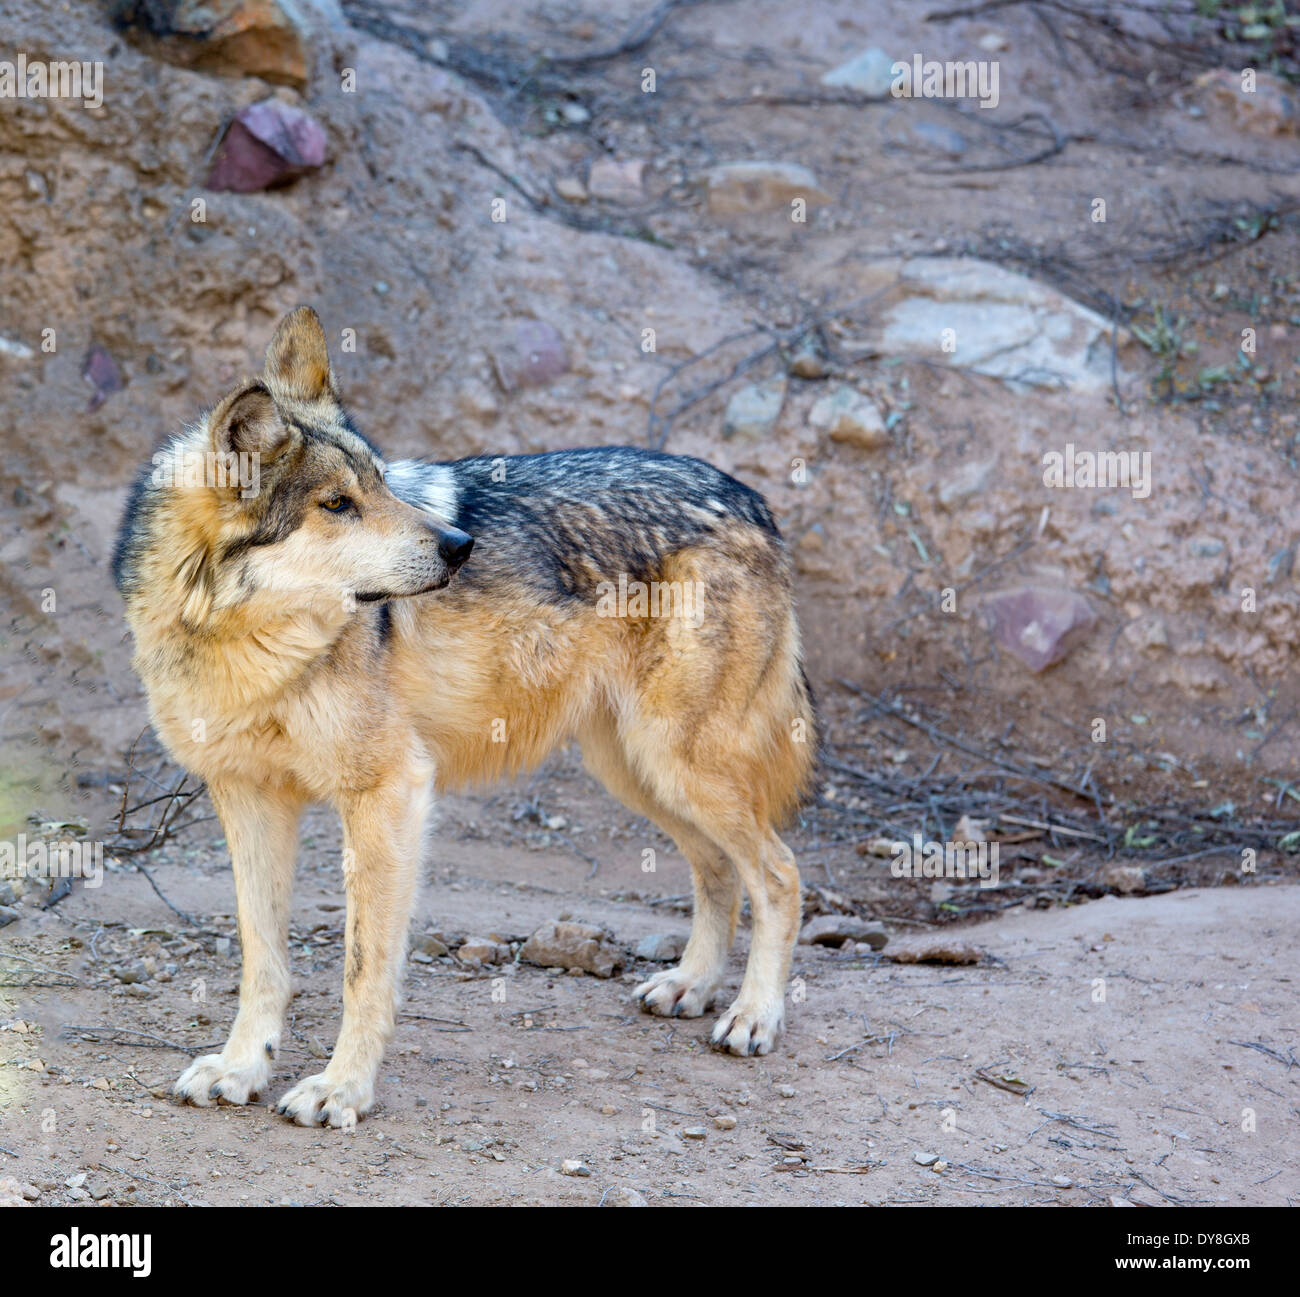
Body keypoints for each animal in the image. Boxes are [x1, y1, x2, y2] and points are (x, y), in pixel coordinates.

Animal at [113, 308, 817, 1127]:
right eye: (337, 504)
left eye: (381, 484)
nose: (460, 546)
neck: (248, 646)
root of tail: (749, 496)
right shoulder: (249, 798)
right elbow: (263, 959)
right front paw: (239, 1068)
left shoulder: (389, 794)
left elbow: (363, 968)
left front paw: (341, 1089)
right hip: (639, 771)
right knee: (720, 871)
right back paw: (692, 985)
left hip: (679, 764)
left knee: (780, 873)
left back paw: (754, 1015)